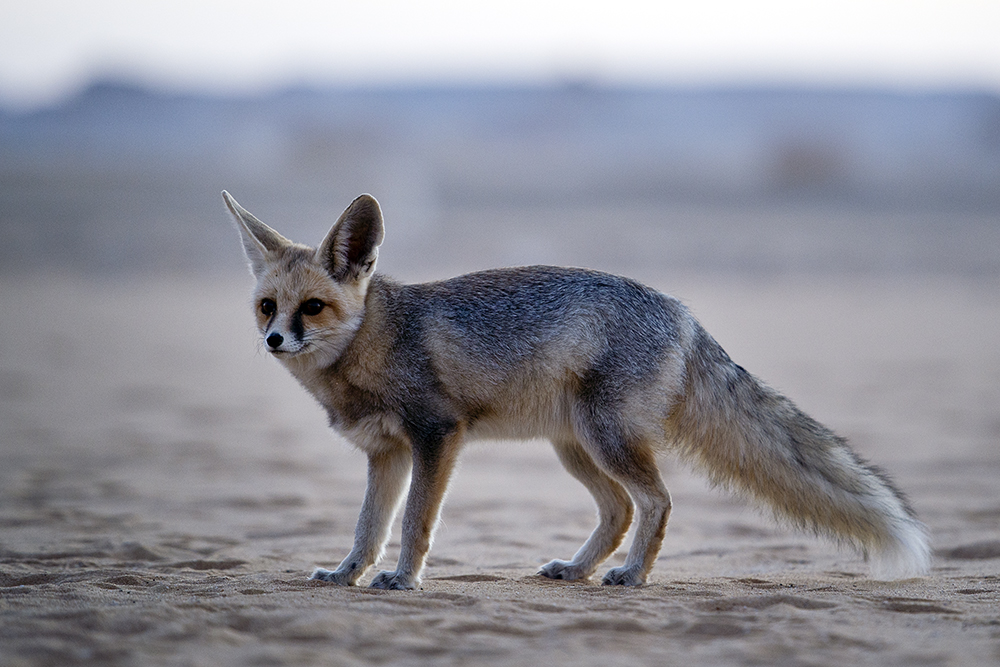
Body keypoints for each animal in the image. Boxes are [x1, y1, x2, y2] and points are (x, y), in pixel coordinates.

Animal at [221, 189, 928, 588]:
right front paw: (347, 575)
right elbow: (368, 526)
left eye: (312, 308)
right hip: (576, 449)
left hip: (605, 441)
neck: (375, 339)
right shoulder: (386, 452)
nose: (274, 341)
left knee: (657, 502)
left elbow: (417, 520)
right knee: (619, 511)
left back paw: (633, 576)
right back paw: (579, 570)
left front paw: (403, 579)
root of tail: (684, 311)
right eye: (267, 308)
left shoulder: (437, 435)